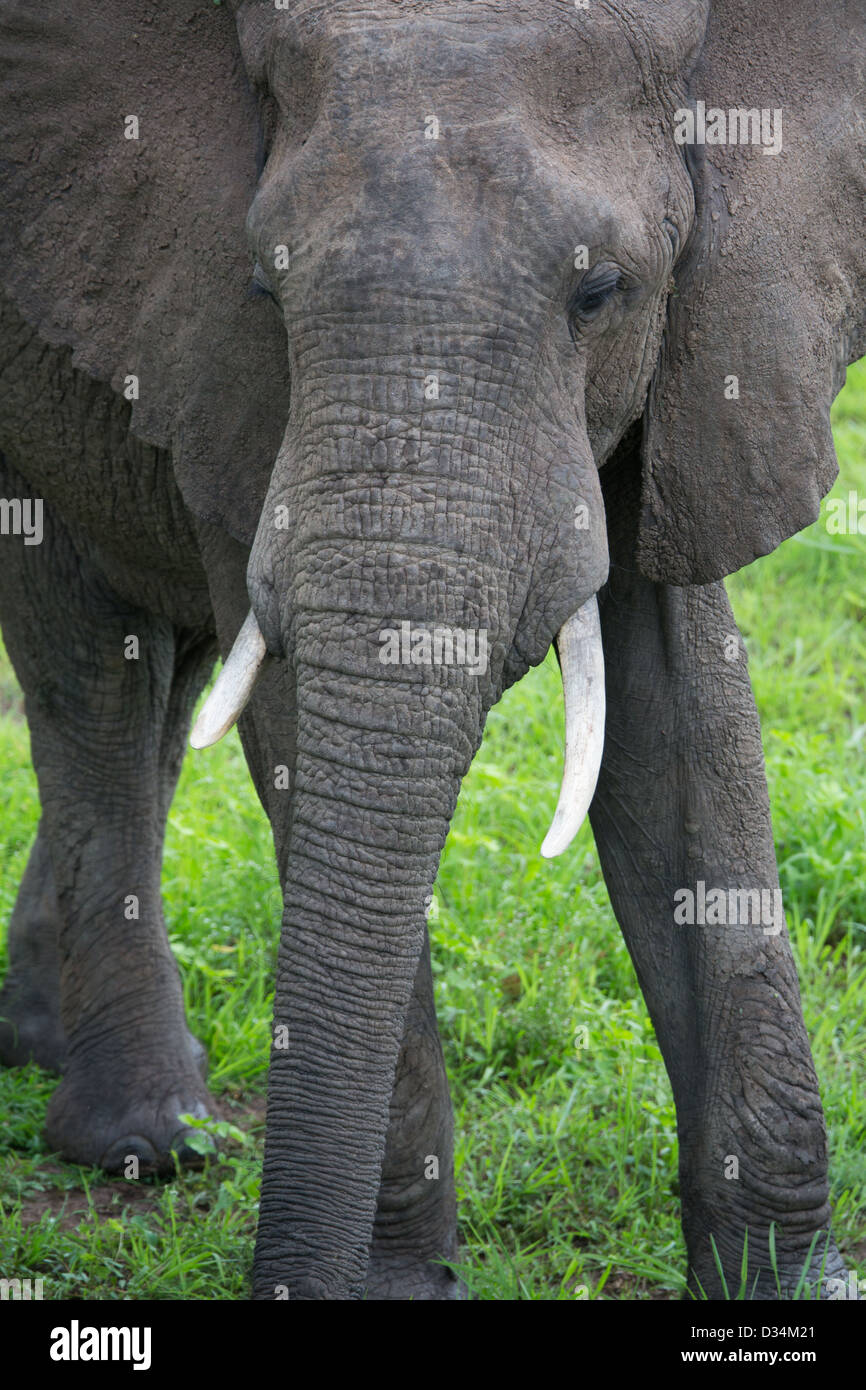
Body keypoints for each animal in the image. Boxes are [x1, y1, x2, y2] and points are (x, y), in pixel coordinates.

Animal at [0, 0, 863, 1301]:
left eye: (600, 292)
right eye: (264, 286)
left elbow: (686, 729)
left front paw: (790, 1282)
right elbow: (296, 717)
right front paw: (395, 1283)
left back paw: (47, 1047)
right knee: (89, 664)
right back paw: (146, 1136)